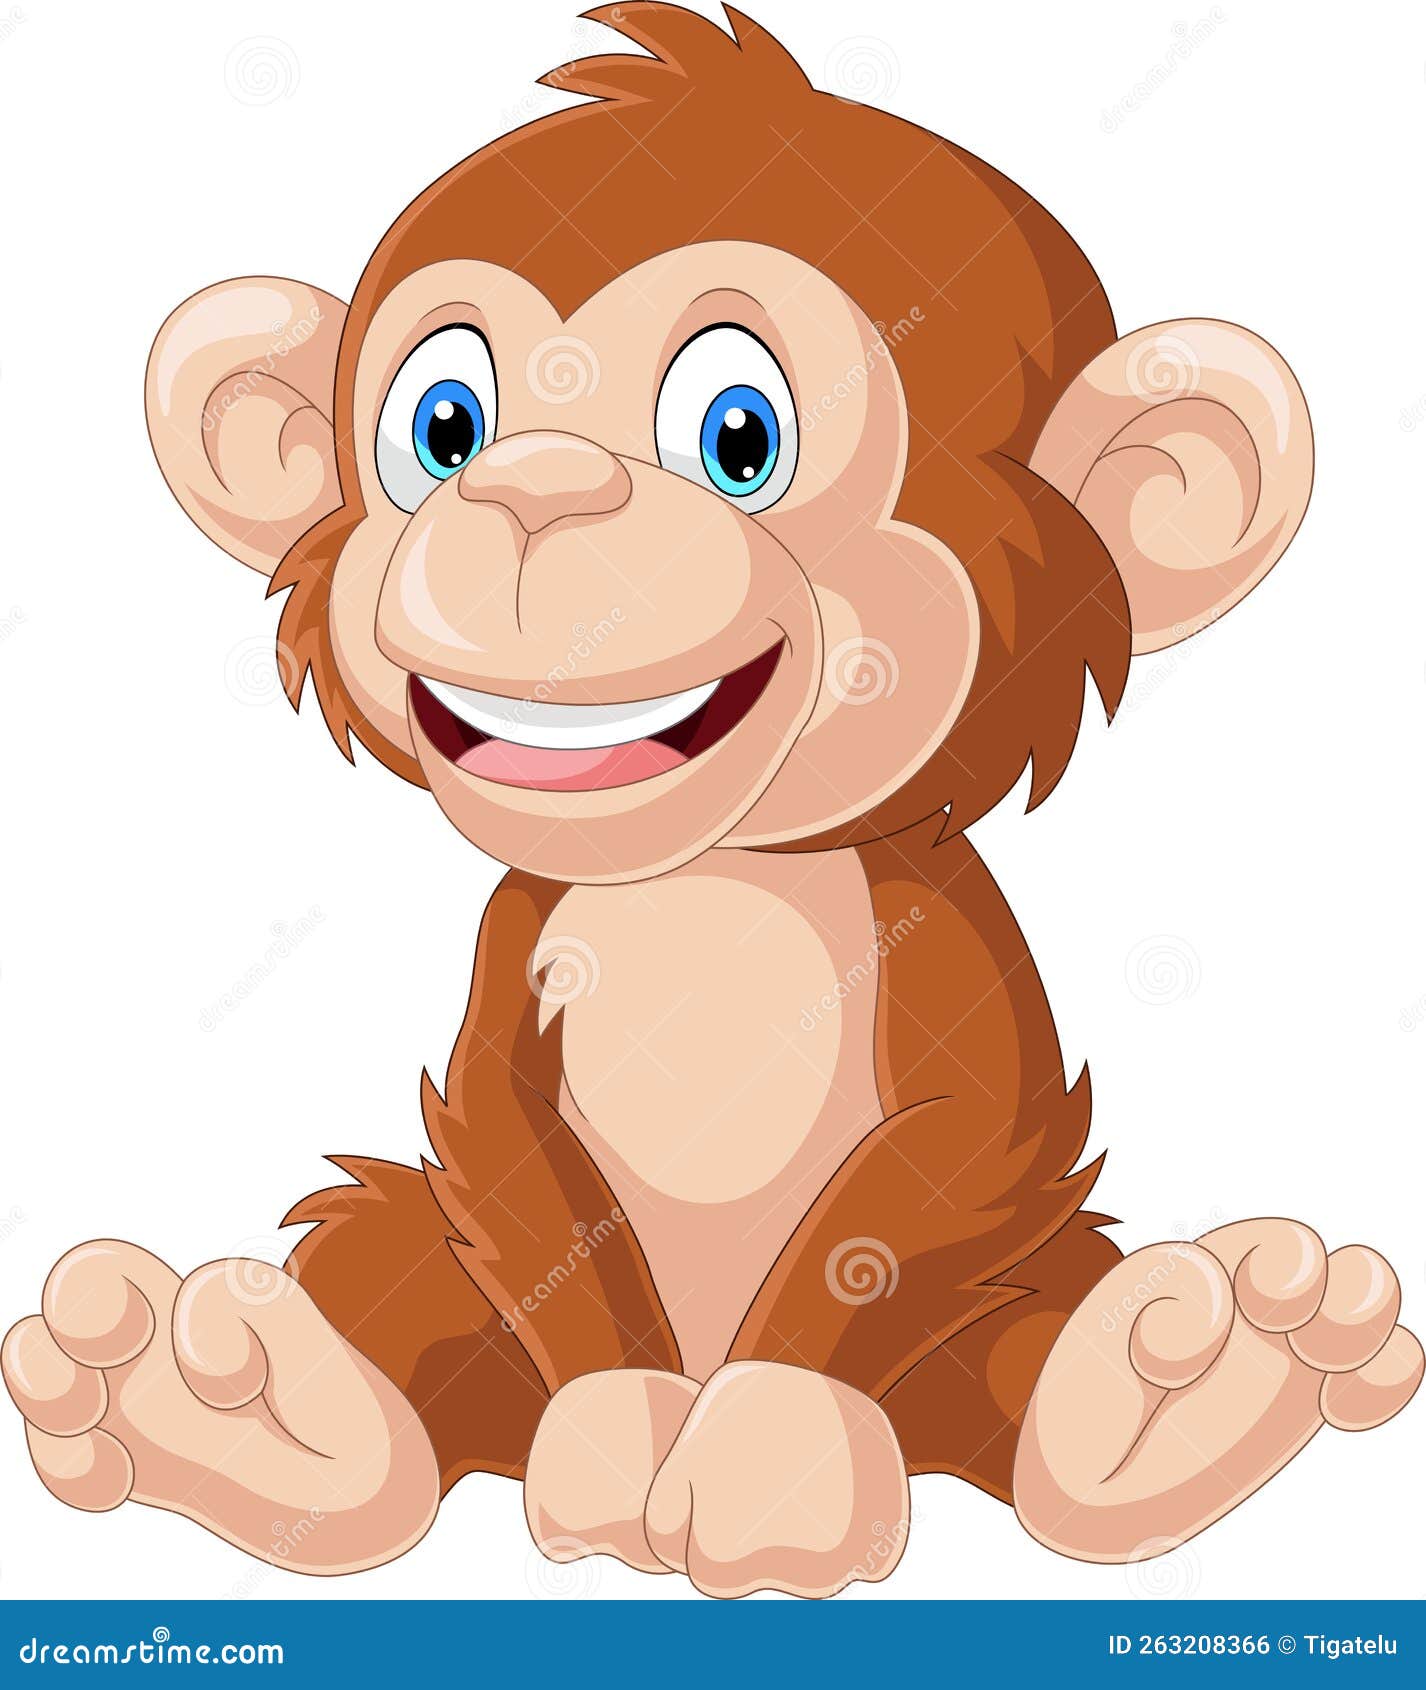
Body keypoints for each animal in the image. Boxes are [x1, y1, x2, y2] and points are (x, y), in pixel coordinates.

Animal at [4, 3, 1419, 1600]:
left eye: (741, 434)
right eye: (444, 422)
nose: (534, 489)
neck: (717, 881)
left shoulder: (934, 931)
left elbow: (946, 1144)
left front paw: (770, 1449)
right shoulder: (520, 947)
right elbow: (512, 1140)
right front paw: (615, 1429)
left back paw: (1169, 1396)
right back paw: (248, 1412)